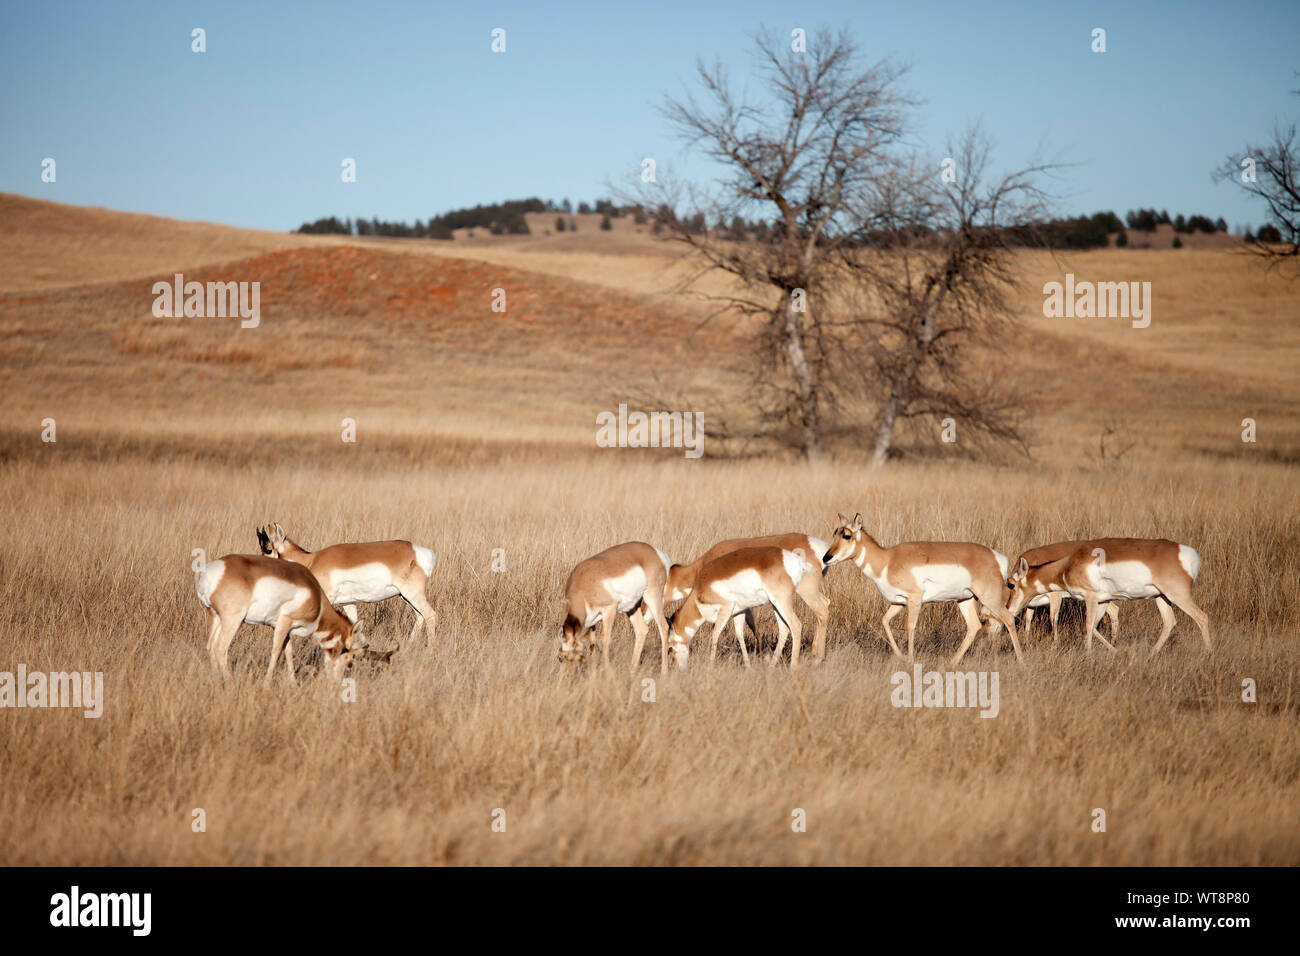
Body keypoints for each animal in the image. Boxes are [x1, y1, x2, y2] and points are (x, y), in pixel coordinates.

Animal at [195, 553, 359, 683]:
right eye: (346, 650)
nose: (337, 681)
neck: (316, 595)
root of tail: (211, 571)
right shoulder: (285, 622)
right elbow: (276, 651)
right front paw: (267, 683)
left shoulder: (285, 629)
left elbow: (288, 652)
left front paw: (294, 684)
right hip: (233, 621)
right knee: (220, 648)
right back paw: (230, 682)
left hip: (216, 618)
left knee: (210, 646)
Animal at [257, 523, 436, 649]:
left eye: (268, 549)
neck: (311, 560)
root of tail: (421, 552)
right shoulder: (348, 603)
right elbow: (355, 625)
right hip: (406, 596)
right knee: (420, 617)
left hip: (412, 594)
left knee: (430, 615)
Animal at [560, 541, 672, 673]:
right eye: (560, 658)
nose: (566, 676)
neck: (582, 586)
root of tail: (656, 552)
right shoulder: (591, 621)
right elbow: (592, 643)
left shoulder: (610, 609)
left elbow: (604, 639)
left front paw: (608, 672)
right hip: (631, 607)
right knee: (642, 629)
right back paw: (631, 670)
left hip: (652, 597)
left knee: (664, 627)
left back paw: (663, 672)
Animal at [823, 513, 1022, 665]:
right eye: (835, 533)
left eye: (847, 535)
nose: (826, 557)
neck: (887, 560)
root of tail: (996, 556)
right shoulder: (899, 602)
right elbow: (885, 620)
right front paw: (901, 656)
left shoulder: (915, 599)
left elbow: (910, 626)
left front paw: (910, 659)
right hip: (964, 599)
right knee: (974, 625)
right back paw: (951, 662)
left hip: (990, 599)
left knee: (1008, 619)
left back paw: (1021, 662)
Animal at [1007, 537, 1210, 658]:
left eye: (1012, 584)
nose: (1008, 609)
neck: (1067, 565)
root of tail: (1186, 552)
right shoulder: (1102, 600)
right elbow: (1093, 627)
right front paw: (1115, 650)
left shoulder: (1088, 597)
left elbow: (1086, 625)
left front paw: (1086, 655)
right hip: (1161, 597)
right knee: (1169, 621)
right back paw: (1151, 655)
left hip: (1178, 596)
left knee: (1202, 617)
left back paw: (1209, 653)